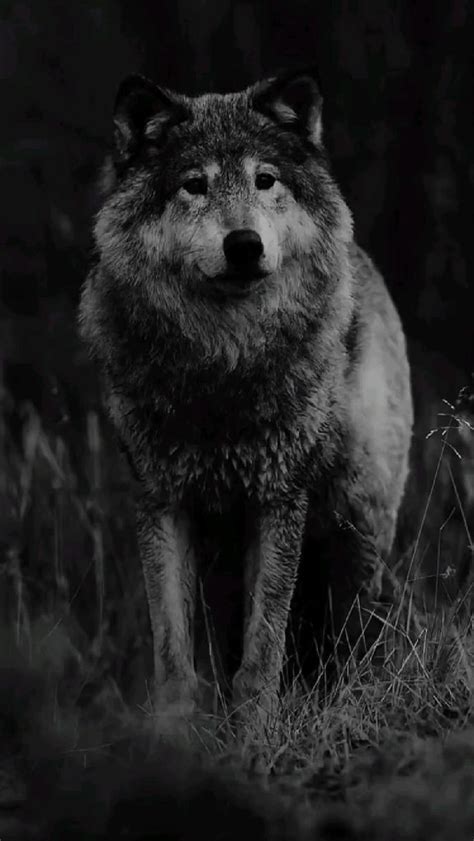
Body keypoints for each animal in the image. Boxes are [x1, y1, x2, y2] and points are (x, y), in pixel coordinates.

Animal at [79, 68, 413, 730]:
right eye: (195, 185)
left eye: (265, 180)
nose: (243, 244)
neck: (224, 368)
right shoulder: (162, 502)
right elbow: (174, 654)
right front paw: (174, 735)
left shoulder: (280, 499)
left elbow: (263, 651)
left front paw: (256, 735)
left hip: (356, 525)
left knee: (353, 627)